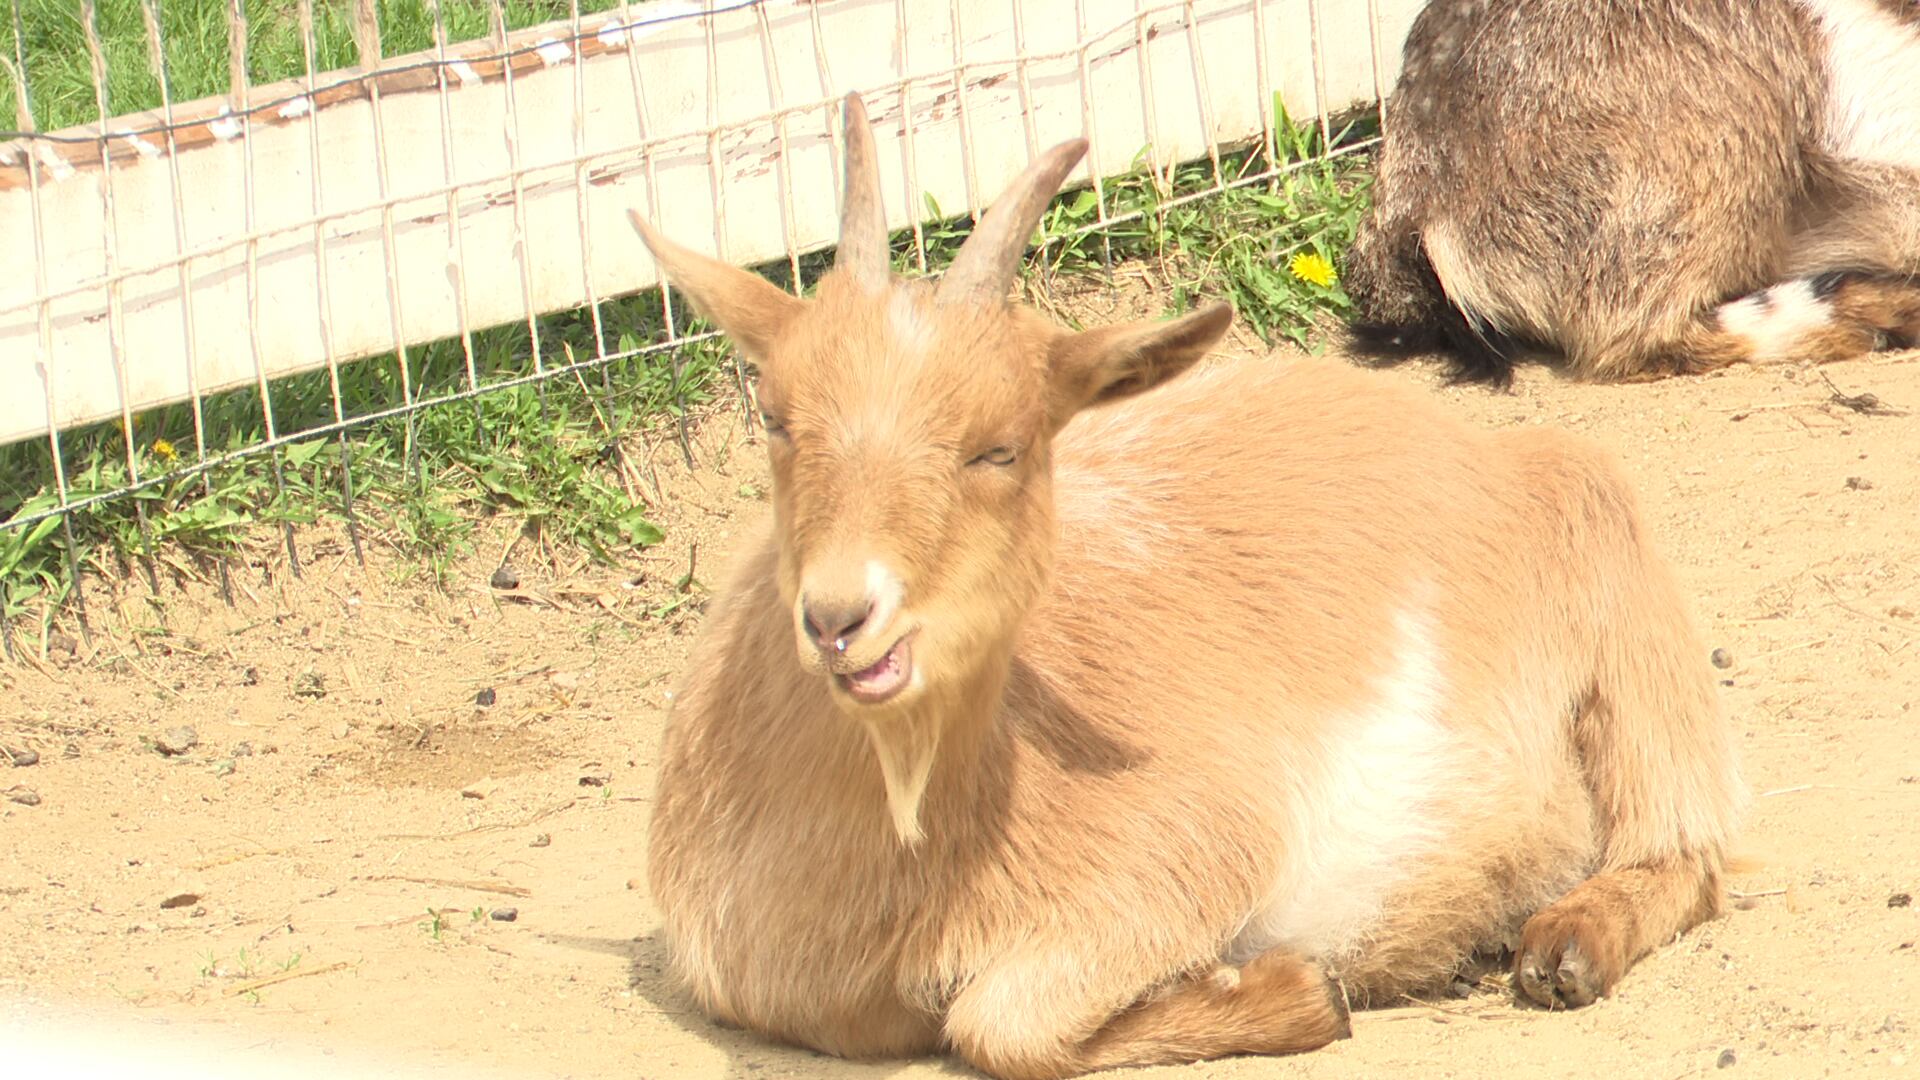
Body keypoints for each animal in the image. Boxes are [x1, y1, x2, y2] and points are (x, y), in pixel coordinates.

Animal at [632, 92, 1743, 1080]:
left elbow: (999, 1020)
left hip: (1610, 570)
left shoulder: (1197, 839)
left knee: (1688, 850)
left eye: (1002, 446)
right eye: (776, 419)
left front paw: (1298, 990)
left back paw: (1565, 945)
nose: (841, 618)